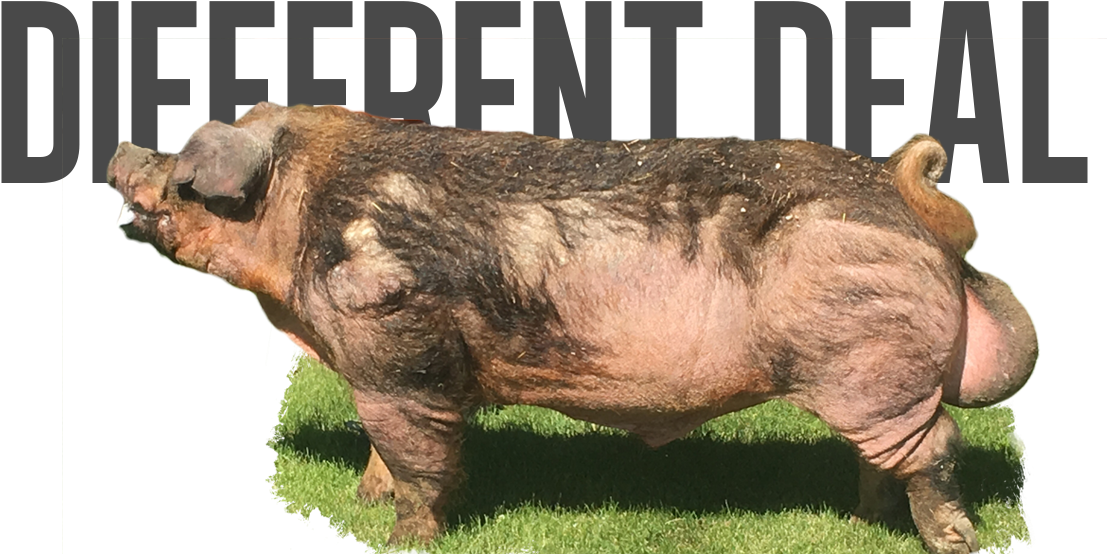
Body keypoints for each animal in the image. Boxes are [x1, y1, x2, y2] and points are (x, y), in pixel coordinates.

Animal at [107, 102, 1037, 554]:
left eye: (184, 170)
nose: (119, 147)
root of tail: (905, 200)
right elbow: (386, 449)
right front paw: (361, 501)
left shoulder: (395, 340)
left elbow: (417, 454)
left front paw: (404, 539)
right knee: (889, 456)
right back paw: (855, 526)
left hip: (864, 354)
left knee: (936, 448)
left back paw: (951, 546)